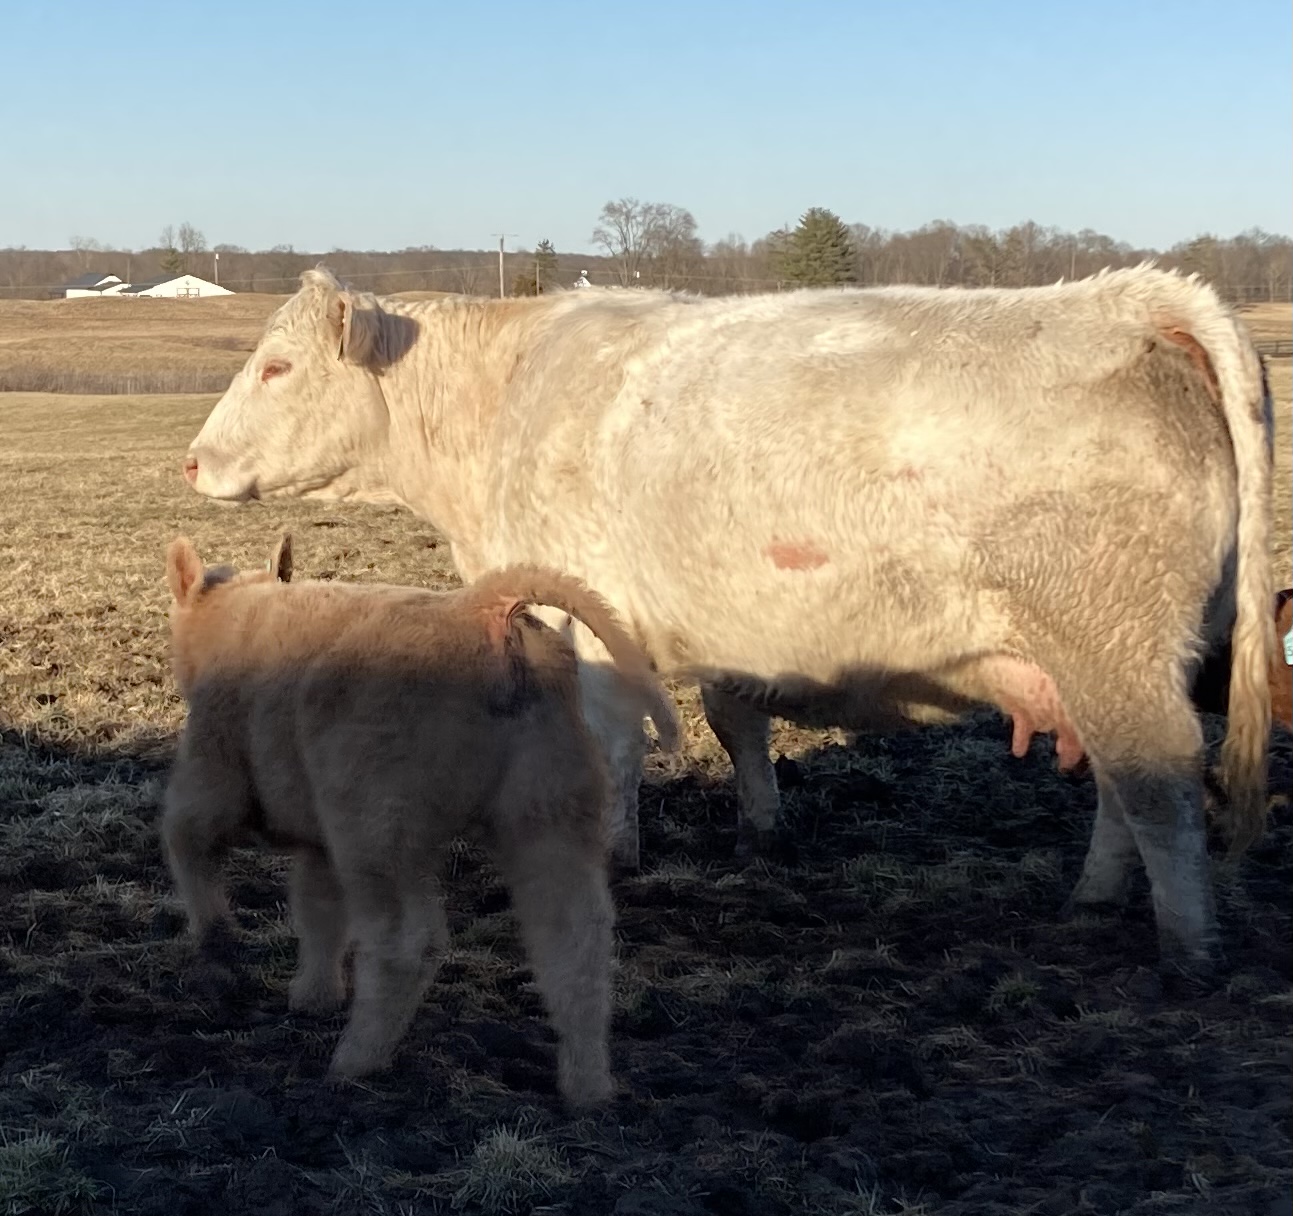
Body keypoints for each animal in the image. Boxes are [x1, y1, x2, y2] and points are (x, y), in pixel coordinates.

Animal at [161, 532, 678, 1106]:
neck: (232, 613)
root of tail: (479, 609)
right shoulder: (319, 841)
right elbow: (318, 910)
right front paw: (313, 998)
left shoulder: (213, 769)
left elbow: (185, 836)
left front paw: (216, 940)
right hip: (549, 813)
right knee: (576, 940)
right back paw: (588, 1090)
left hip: (377, 830)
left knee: (406, 943)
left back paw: (352, 1064)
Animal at [182, 264, 1275, 972]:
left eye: (276, 367)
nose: (192, 460)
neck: (506, 394)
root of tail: (1134, 299)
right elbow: (735, 722)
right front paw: (759, 830)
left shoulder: (587, 612)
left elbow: (609, 742)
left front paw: (608, 853)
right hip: (1109, 652)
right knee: (1120, 785)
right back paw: (1094, 899)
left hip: (1111, 639)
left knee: (1160, 784)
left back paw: (1186, 948)